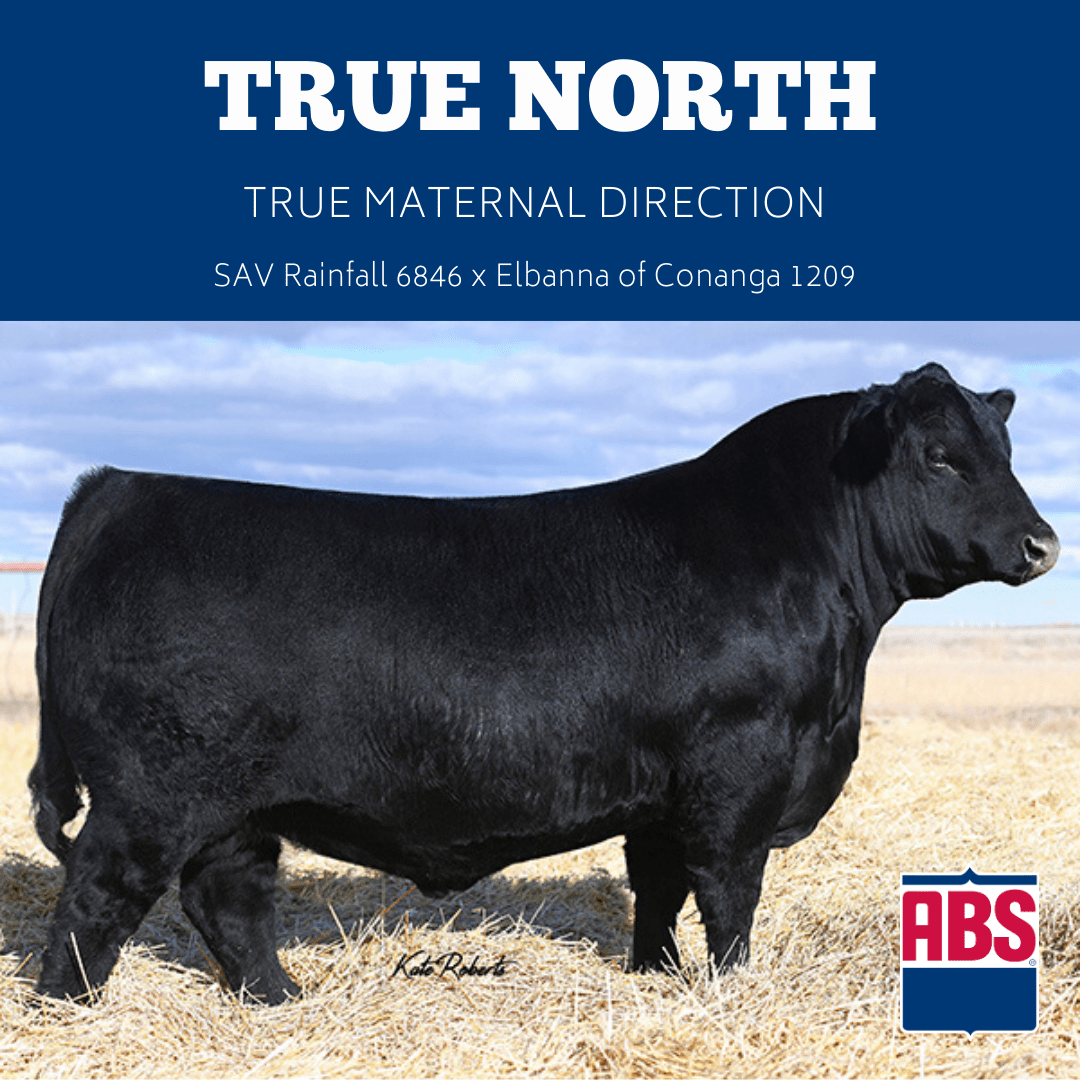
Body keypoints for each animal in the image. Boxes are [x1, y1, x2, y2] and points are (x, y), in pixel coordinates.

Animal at [29, 362, 1058, 1004]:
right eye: (940, 456)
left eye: (1004, 453)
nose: (1043, 544)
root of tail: (114, 486)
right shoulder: (739, 776)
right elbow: (729, 895)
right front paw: (729, 989)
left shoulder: (663, 793)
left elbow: (657, 890)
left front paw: (655, 979)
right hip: (153, 791)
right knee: (98, 894)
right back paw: (66, 1013)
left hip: (235, 802)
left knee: (227, 899)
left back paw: (283, 1003)